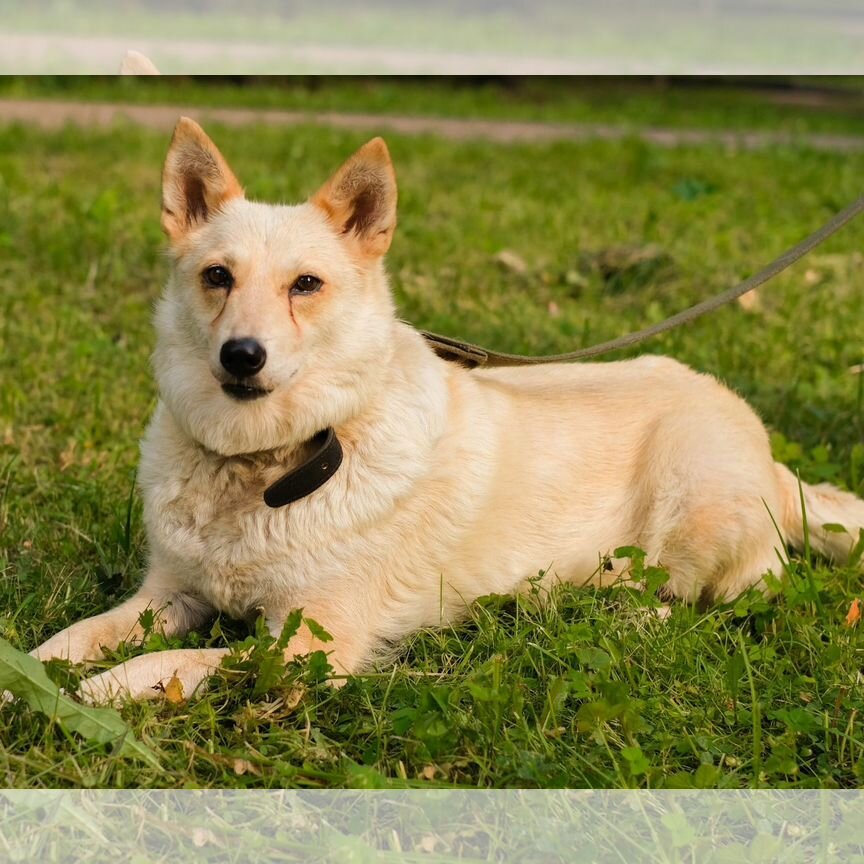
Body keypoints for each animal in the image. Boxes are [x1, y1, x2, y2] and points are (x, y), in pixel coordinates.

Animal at [30, 118, 864, 704]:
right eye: (216, 276)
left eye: (306, 285)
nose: (242, 356)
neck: (270, 461)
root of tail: (768, 452)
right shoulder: (166, 594)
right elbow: (77, 637)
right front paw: (37, 674)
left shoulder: (309, 647)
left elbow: (177, 661)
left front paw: (108, 688)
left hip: (692, 505)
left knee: (724, 593)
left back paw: (615, 609)